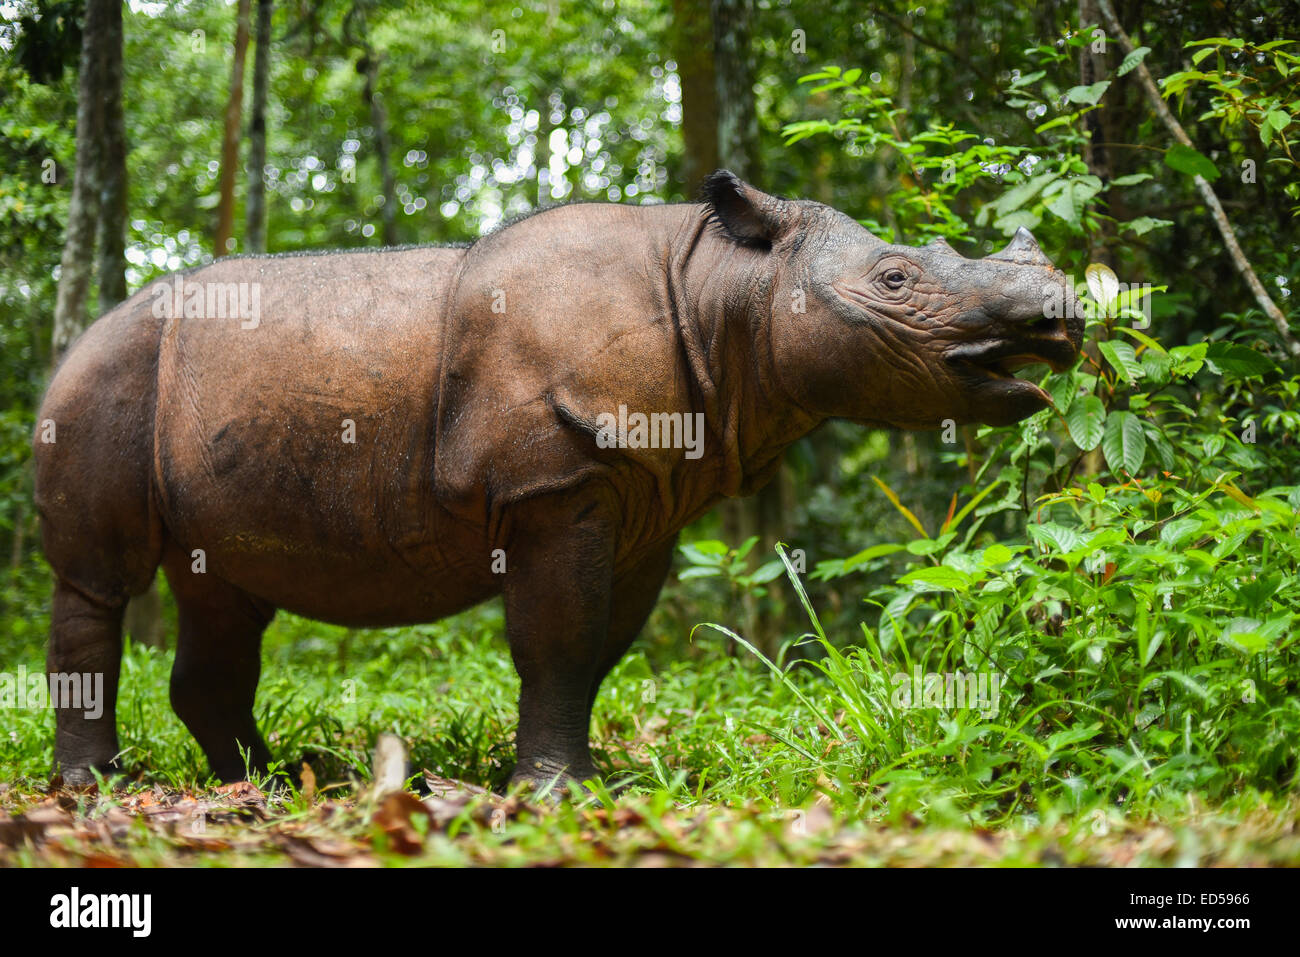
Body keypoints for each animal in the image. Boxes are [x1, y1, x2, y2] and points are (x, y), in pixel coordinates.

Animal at [34, 171, 1082, 791]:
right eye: (897, 280)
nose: (1058, 315)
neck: (723, 287)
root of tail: (85, 331)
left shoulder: (646, 493)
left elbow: (594, 647)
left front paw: (574, 779)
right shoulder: (556, 484)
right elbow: (560, 638)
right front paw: (555, 795)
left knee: (224, 589)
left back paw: (277, 779)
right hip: (105, 373)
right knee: (100, 579)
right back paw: (102, 789)